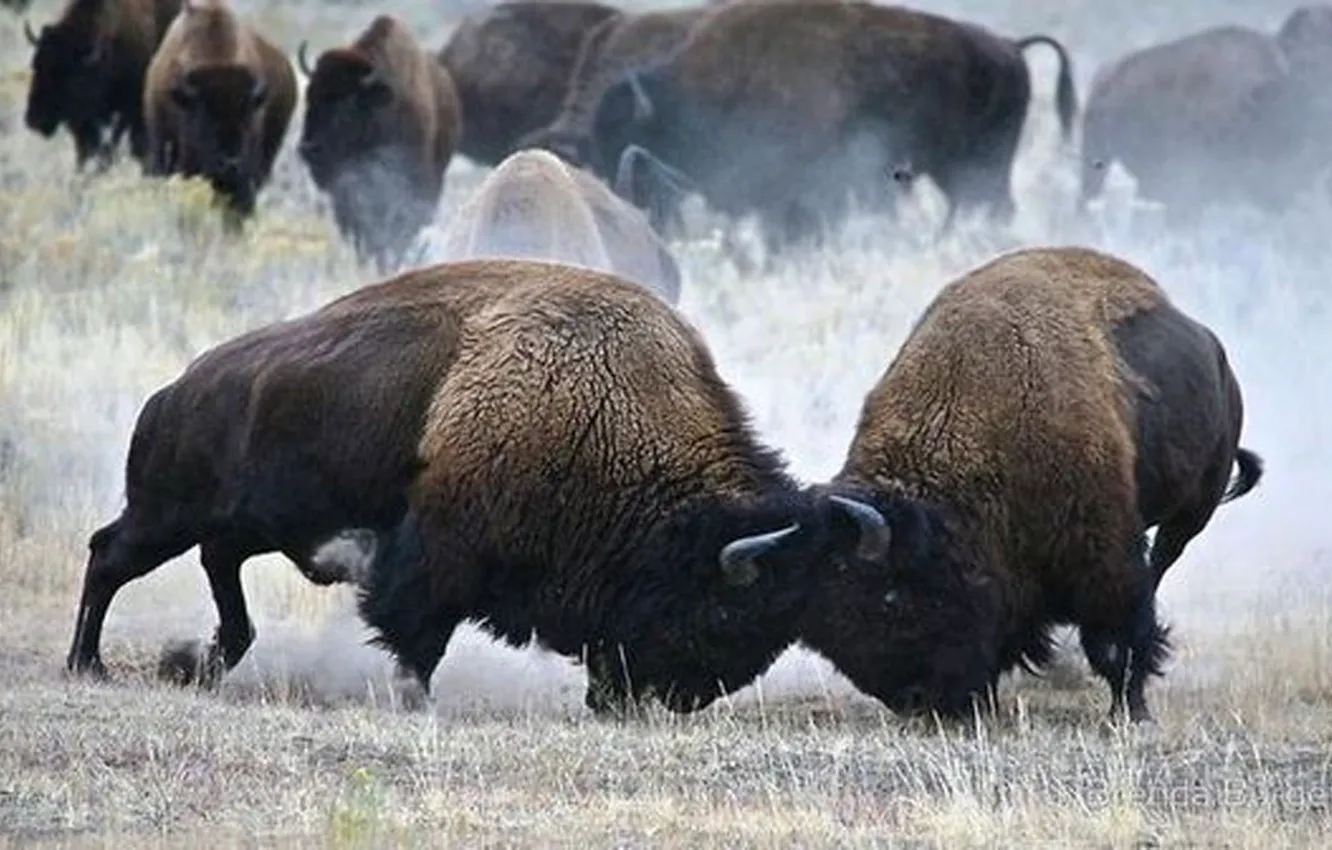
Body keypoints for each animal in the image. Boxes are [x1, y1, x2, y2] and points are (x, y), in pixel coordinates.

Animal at [788, 247, 1262, 723]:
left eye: (892, 599)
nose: (915, 699)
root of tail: (1216, 354)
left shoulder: (1104, 553)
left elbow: (1116, 639)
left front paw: (1131, 712)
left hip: (1194, 508)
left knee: (1160, 563)